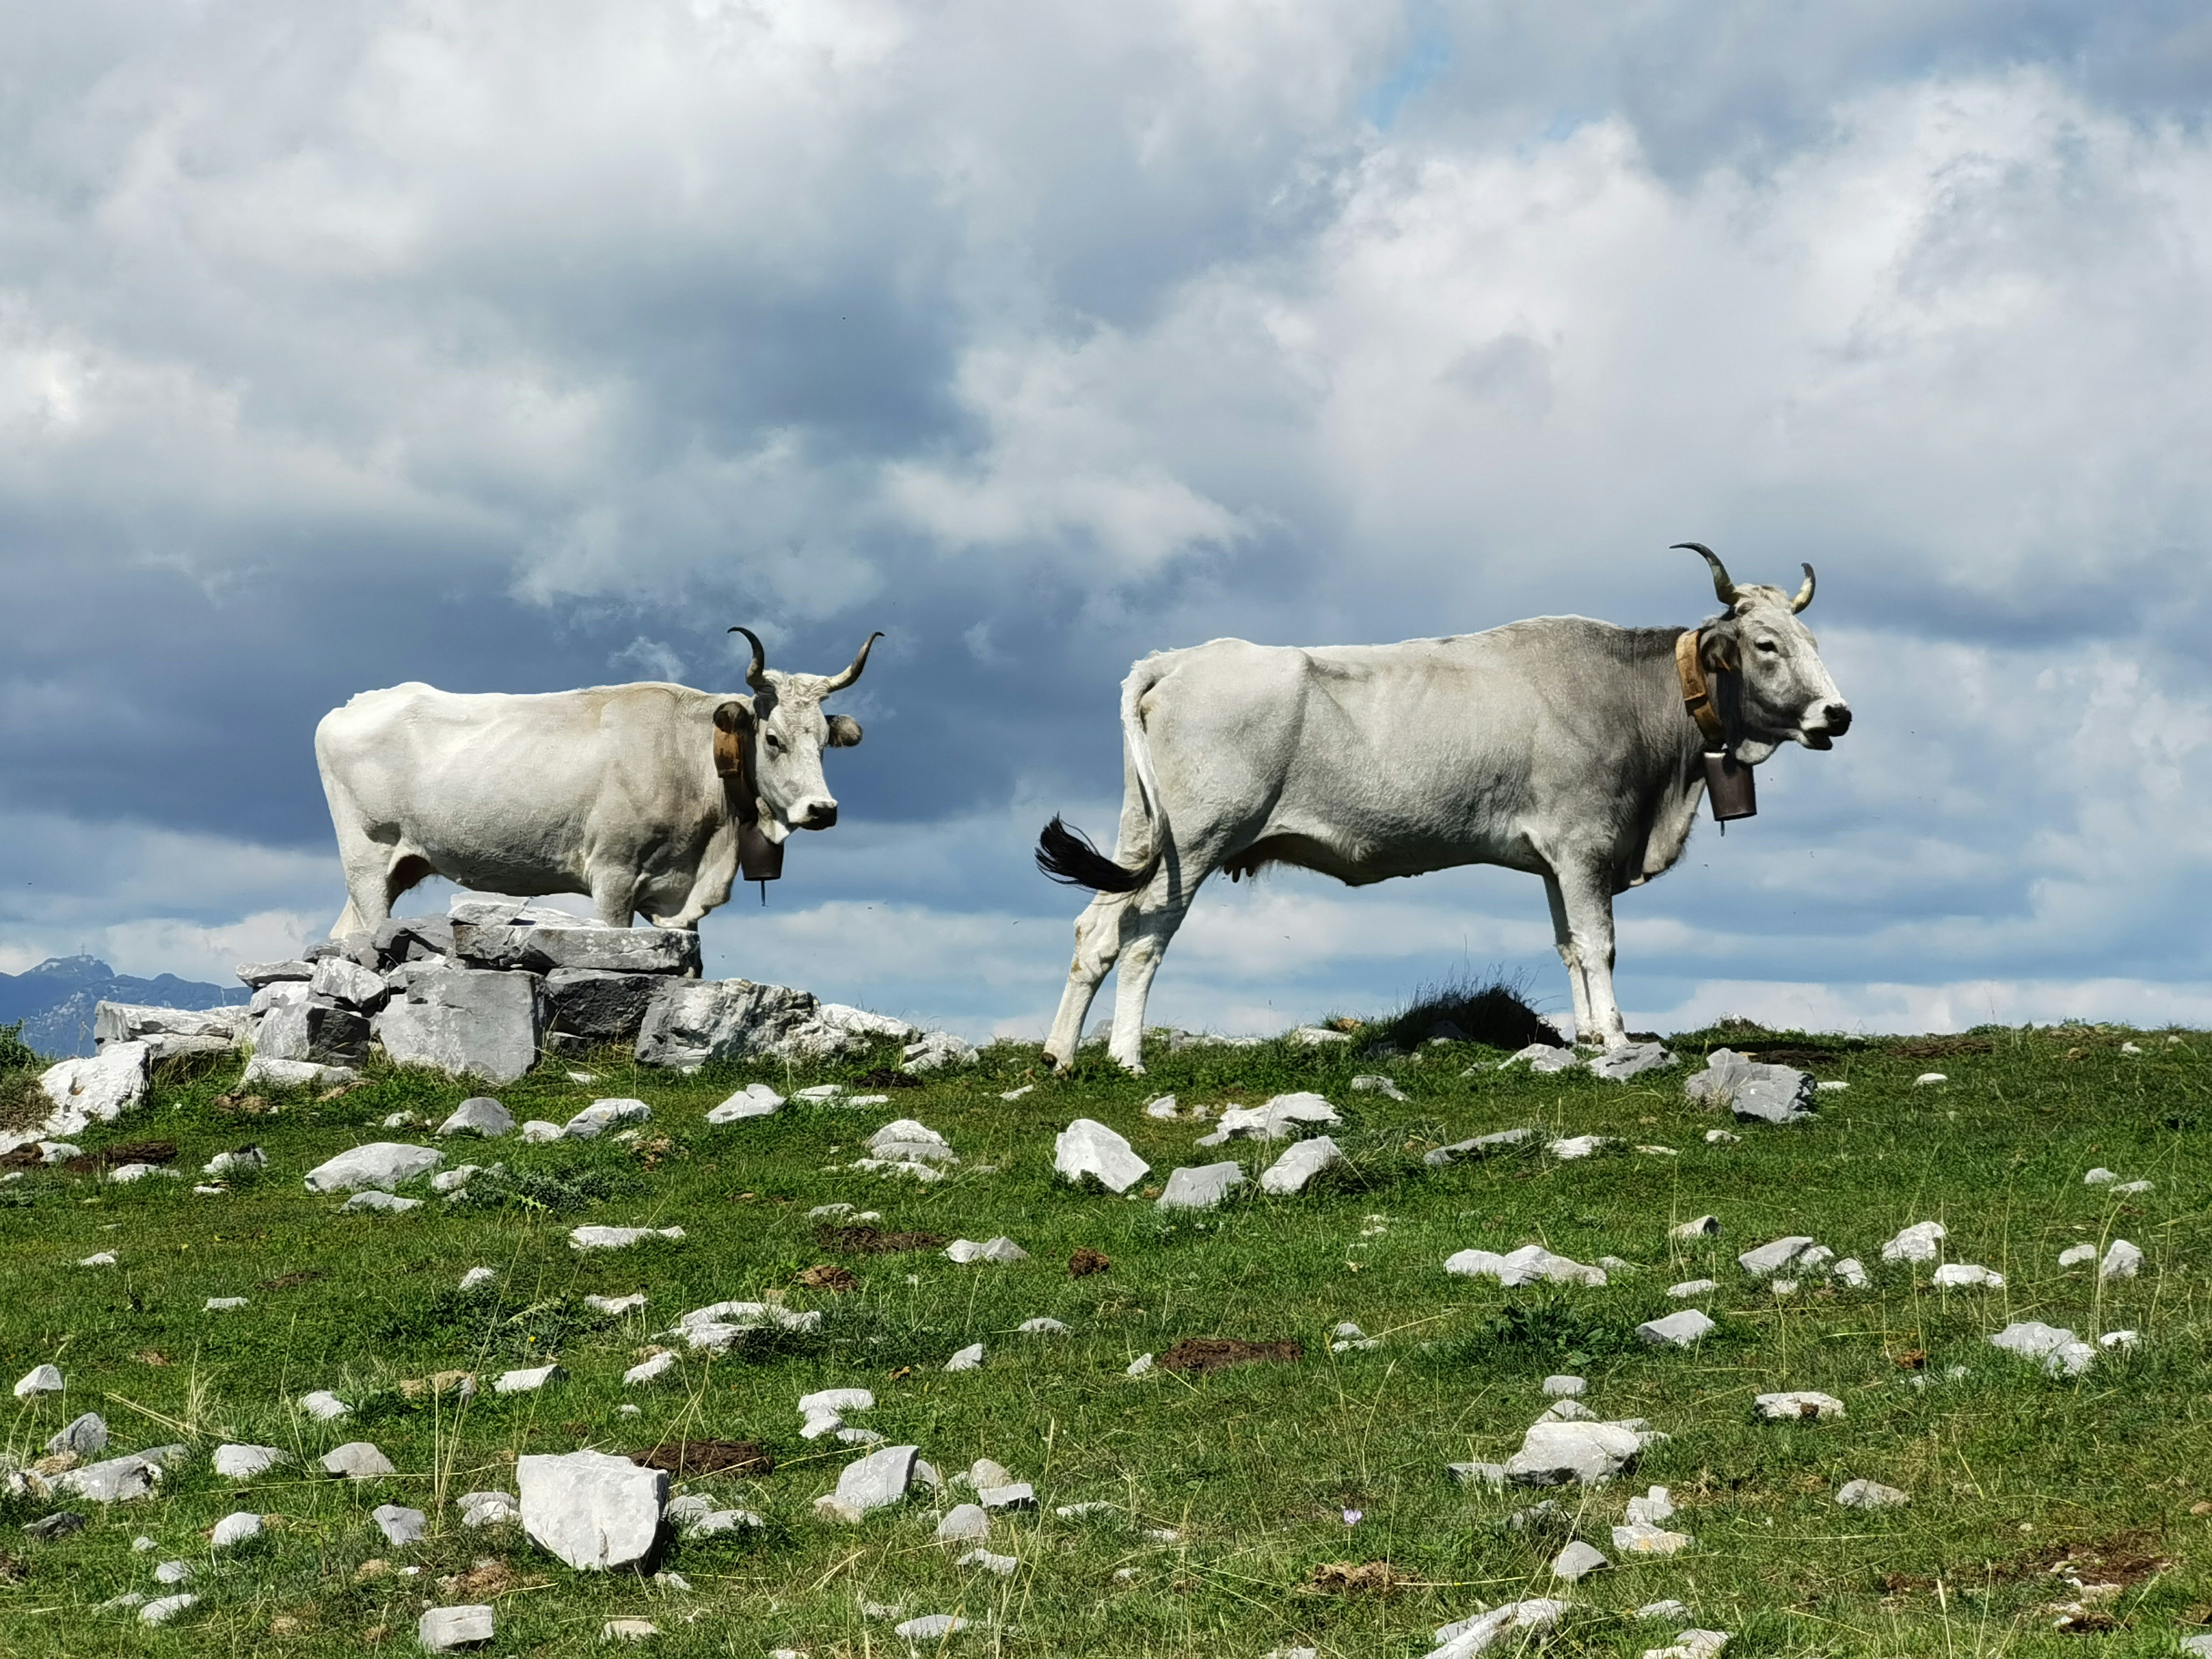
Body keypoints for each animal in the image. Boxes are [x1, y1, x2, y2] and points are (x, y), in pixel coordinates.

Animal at [314, 627, 879, 935]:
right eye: (773, 739)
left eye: (824, 742)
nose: (822, 810)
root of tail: (354, 703)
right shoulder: (613, 873)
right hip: (368, 858)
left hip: (401, 864)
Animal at [1034, 546, 1849, 1072]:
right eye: (1767, 644)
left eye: (1813, 639)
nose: (1837, 715)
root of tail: (1180, 658)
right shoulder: (1586, 842)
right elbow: (1600, 945)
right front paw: (1618, 1044)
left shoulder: (1556, 859)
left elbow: (1568, 946)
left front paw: (1587, 1038)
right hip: (1197, 840)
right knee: (1145, 938)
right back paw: (1128, 1058)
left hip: (1142, 834)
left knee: (1095, 930)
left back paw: (1060, 1056)